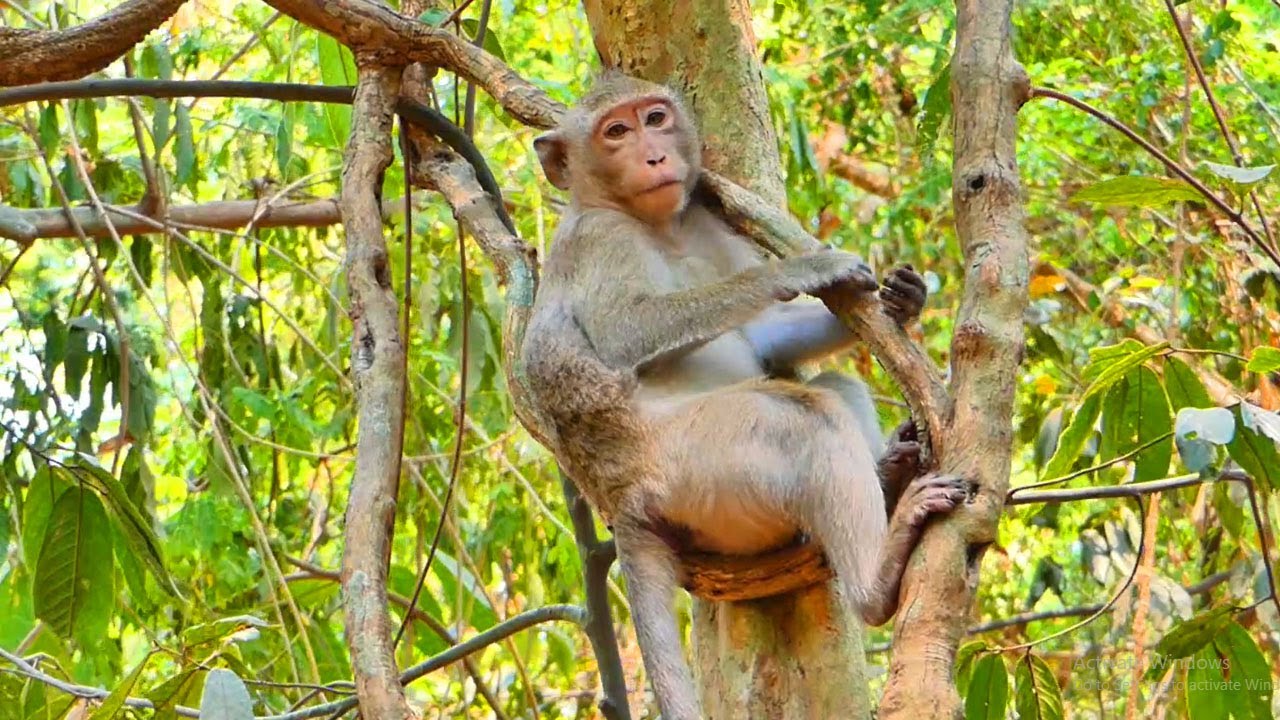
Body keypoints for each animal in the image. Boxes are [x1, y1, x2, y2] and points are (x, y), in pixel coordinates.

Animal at [520, 72, 966, 720]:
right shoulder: (600, 241)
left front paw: (903, 299)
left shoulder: (705, 224)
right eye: (616, 132)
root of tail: (622, 500)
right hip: (700, 468)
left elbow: (759, 336)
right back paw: (876, 582)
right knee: (804, 420)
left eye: (655, 118)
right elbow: (626, 332)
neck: (656, 226)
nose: (654, 156)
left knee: (832, 389)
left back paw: (889, 471)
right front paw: (799, 270)